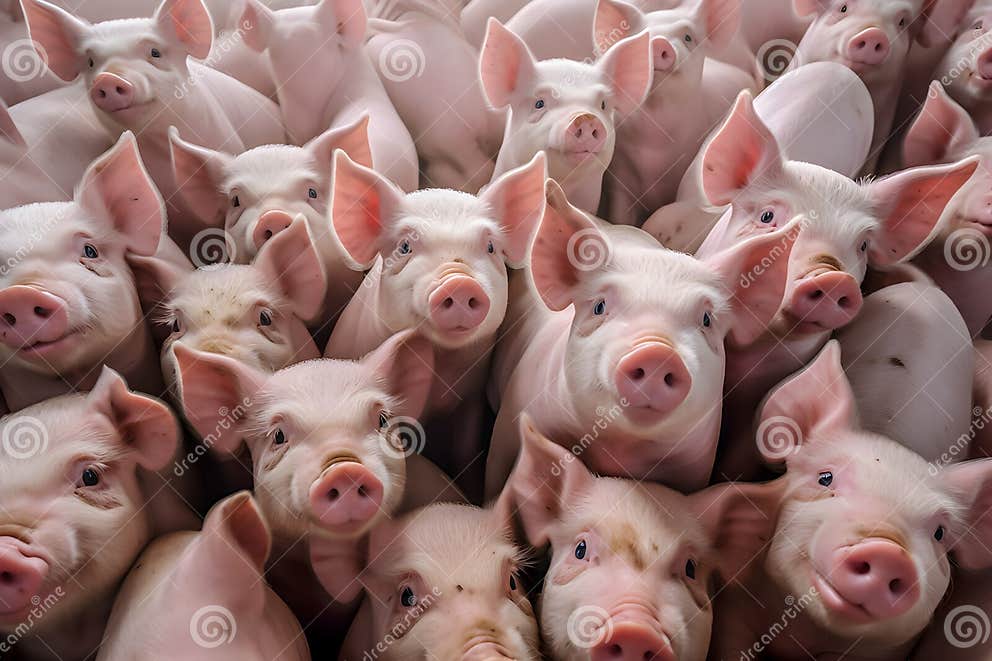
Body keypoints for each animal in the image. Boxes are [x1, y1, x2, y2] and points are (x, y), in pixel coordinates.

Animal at [325, 150, 546, 486]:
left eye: (491, 247)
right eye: (404, 246)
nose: (459, 280)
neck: (442, 364)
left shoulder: (470, 400)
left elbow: (466, 449)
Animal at [484, 178, 798, 499]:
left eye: (707, 320)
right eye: (599, 307)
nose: (656, 350)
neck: (620, 450)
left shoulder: (693, 470)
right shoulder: (509, 425)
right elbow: (495, 479)